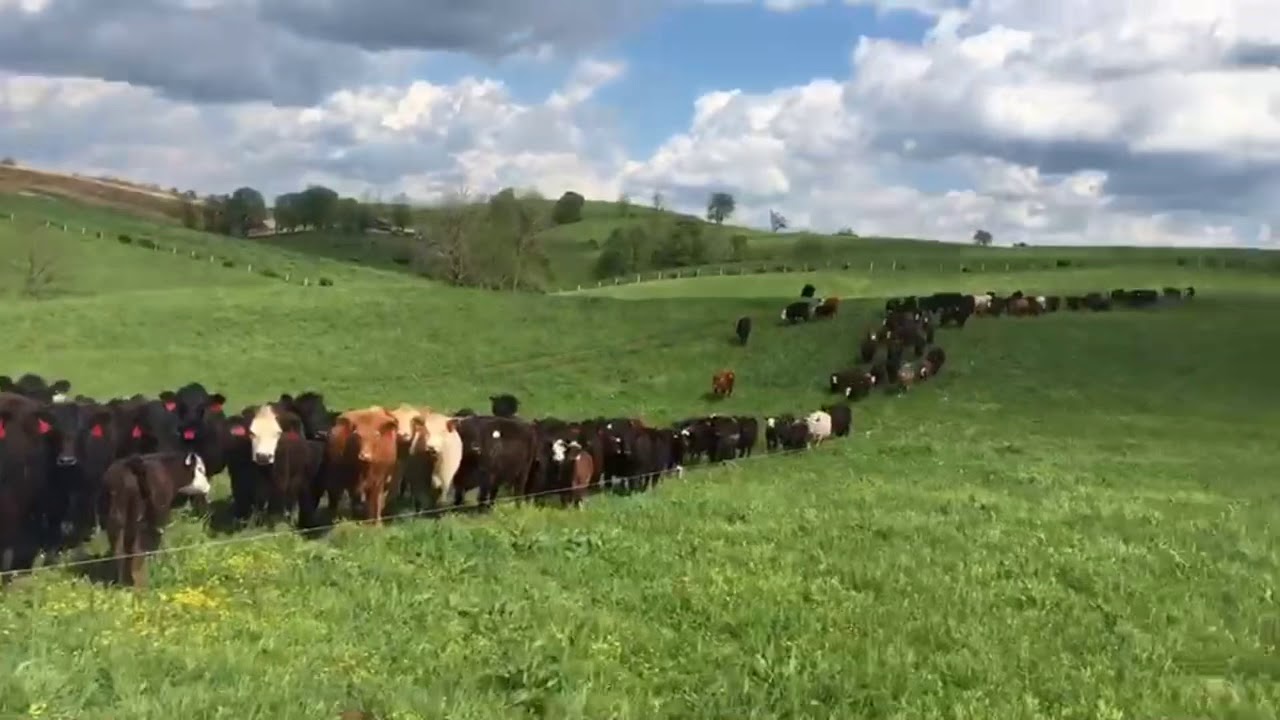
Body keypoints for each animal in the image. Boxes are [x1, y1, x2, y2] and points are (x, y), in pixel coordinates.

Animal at [102, 451, 210, 587]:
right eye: (200, 469)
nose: (208, 487)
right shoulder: (161, 513)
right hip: (136, 515)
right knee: (134, 546)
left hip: (116, 516)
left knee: (119, 548)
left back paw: (123, 582)